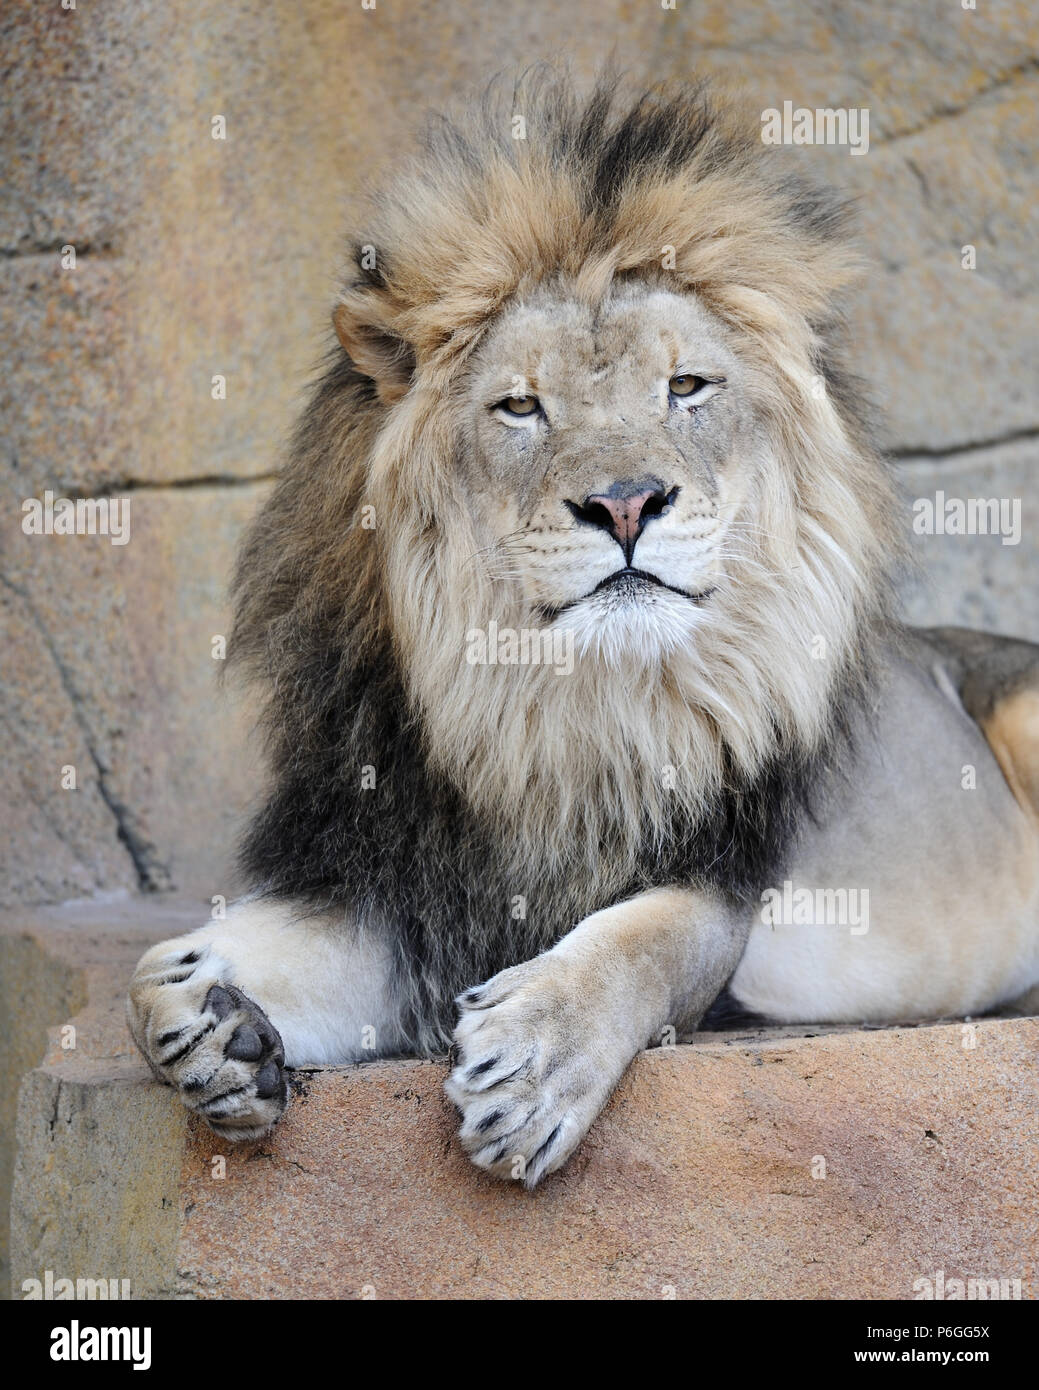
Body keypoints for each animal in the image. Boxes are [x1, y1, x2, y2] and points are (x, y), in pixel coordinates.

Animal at [127, 72, 1039, 1188]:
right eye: (521, 406)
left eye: (685, 387)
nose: (626, 502)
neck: (560, 708)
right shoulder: (387, 883)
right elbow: (151, 977)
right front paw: (215, 1034)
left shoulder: (720, 879)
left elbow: (643, 942)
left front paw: (534, 1063)